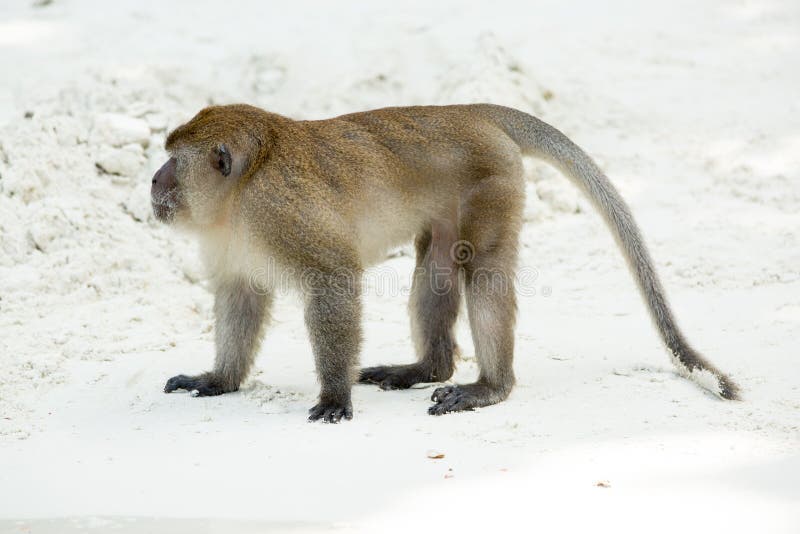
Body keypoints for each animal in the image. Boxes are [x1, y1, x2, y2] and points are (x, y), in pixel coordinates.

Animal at [152, 103, 738, 423]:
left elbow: (333, 279)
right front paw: (220, 379)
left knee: (483, 269)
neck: (243, 190)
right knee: (436, 261)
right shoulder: (232, 239)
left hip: (494, 180)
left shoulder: (281, 210)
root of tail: (469, 111)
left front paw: (335, 395)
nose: (154, 180)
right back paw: (426, 368)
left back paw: (491, 387)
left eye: (172, 159)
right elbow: (241, 295)